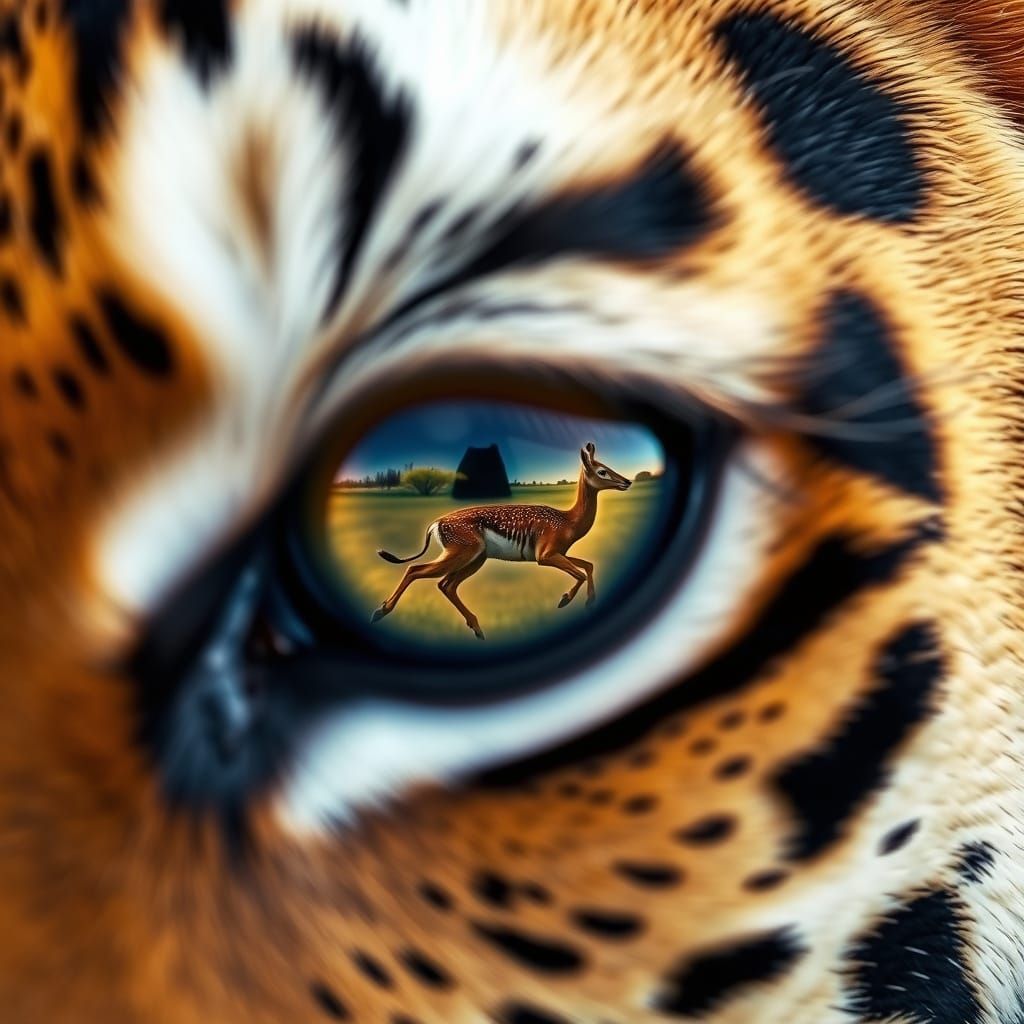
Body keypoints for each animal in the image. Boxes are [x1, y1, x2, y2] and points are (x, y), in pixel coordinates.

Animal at [372, 443, 632, 639]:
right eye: (602, 471)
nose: (627, 482)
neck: (568, 520)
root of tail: (436, 523)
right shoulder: (545, 556)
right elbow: (579, 572)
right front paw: (565, 601)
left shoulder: (560, 553)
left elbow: (588, 565)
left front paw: (590, 602)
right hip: (462, 555)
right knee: (415, 570)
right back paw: (380, 612)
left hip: (475, 559)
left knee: (446, 584)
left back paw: (478, 630)